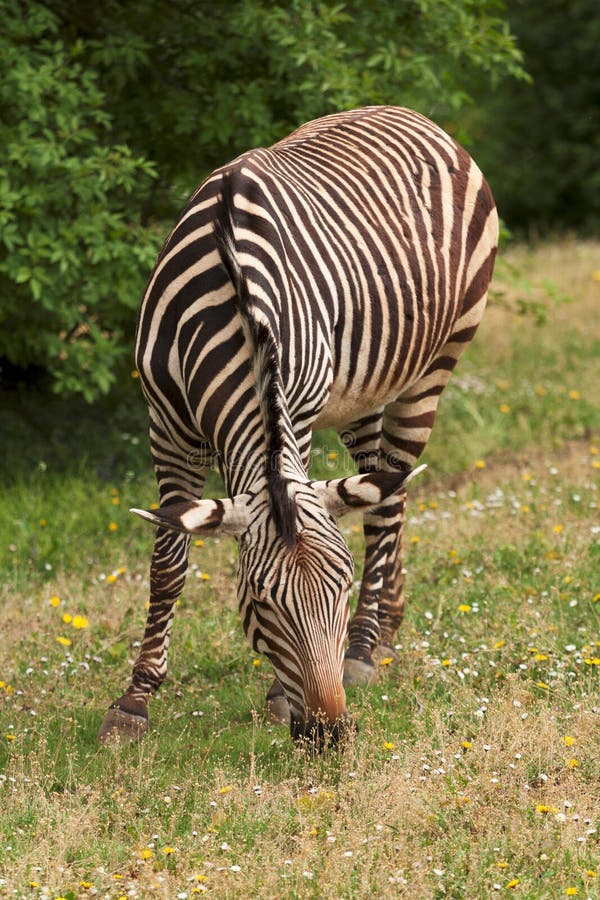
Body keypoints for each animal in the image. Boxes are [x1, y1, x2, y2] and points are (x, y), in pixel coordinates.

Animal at [98, 105, 498, 749]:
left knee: (386, 506)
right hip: (365, 393)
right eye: (260, 603)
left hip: (432, 368)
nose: (330, 732)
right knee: (385, 487)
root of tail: (411, 114)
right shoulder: (166, 425)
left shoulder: (299, 412)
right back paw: (389, 621)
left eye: (340, 588)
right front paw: (135, 699)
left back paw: (363, 648)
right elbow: (168, 563)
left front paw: (278, 697)